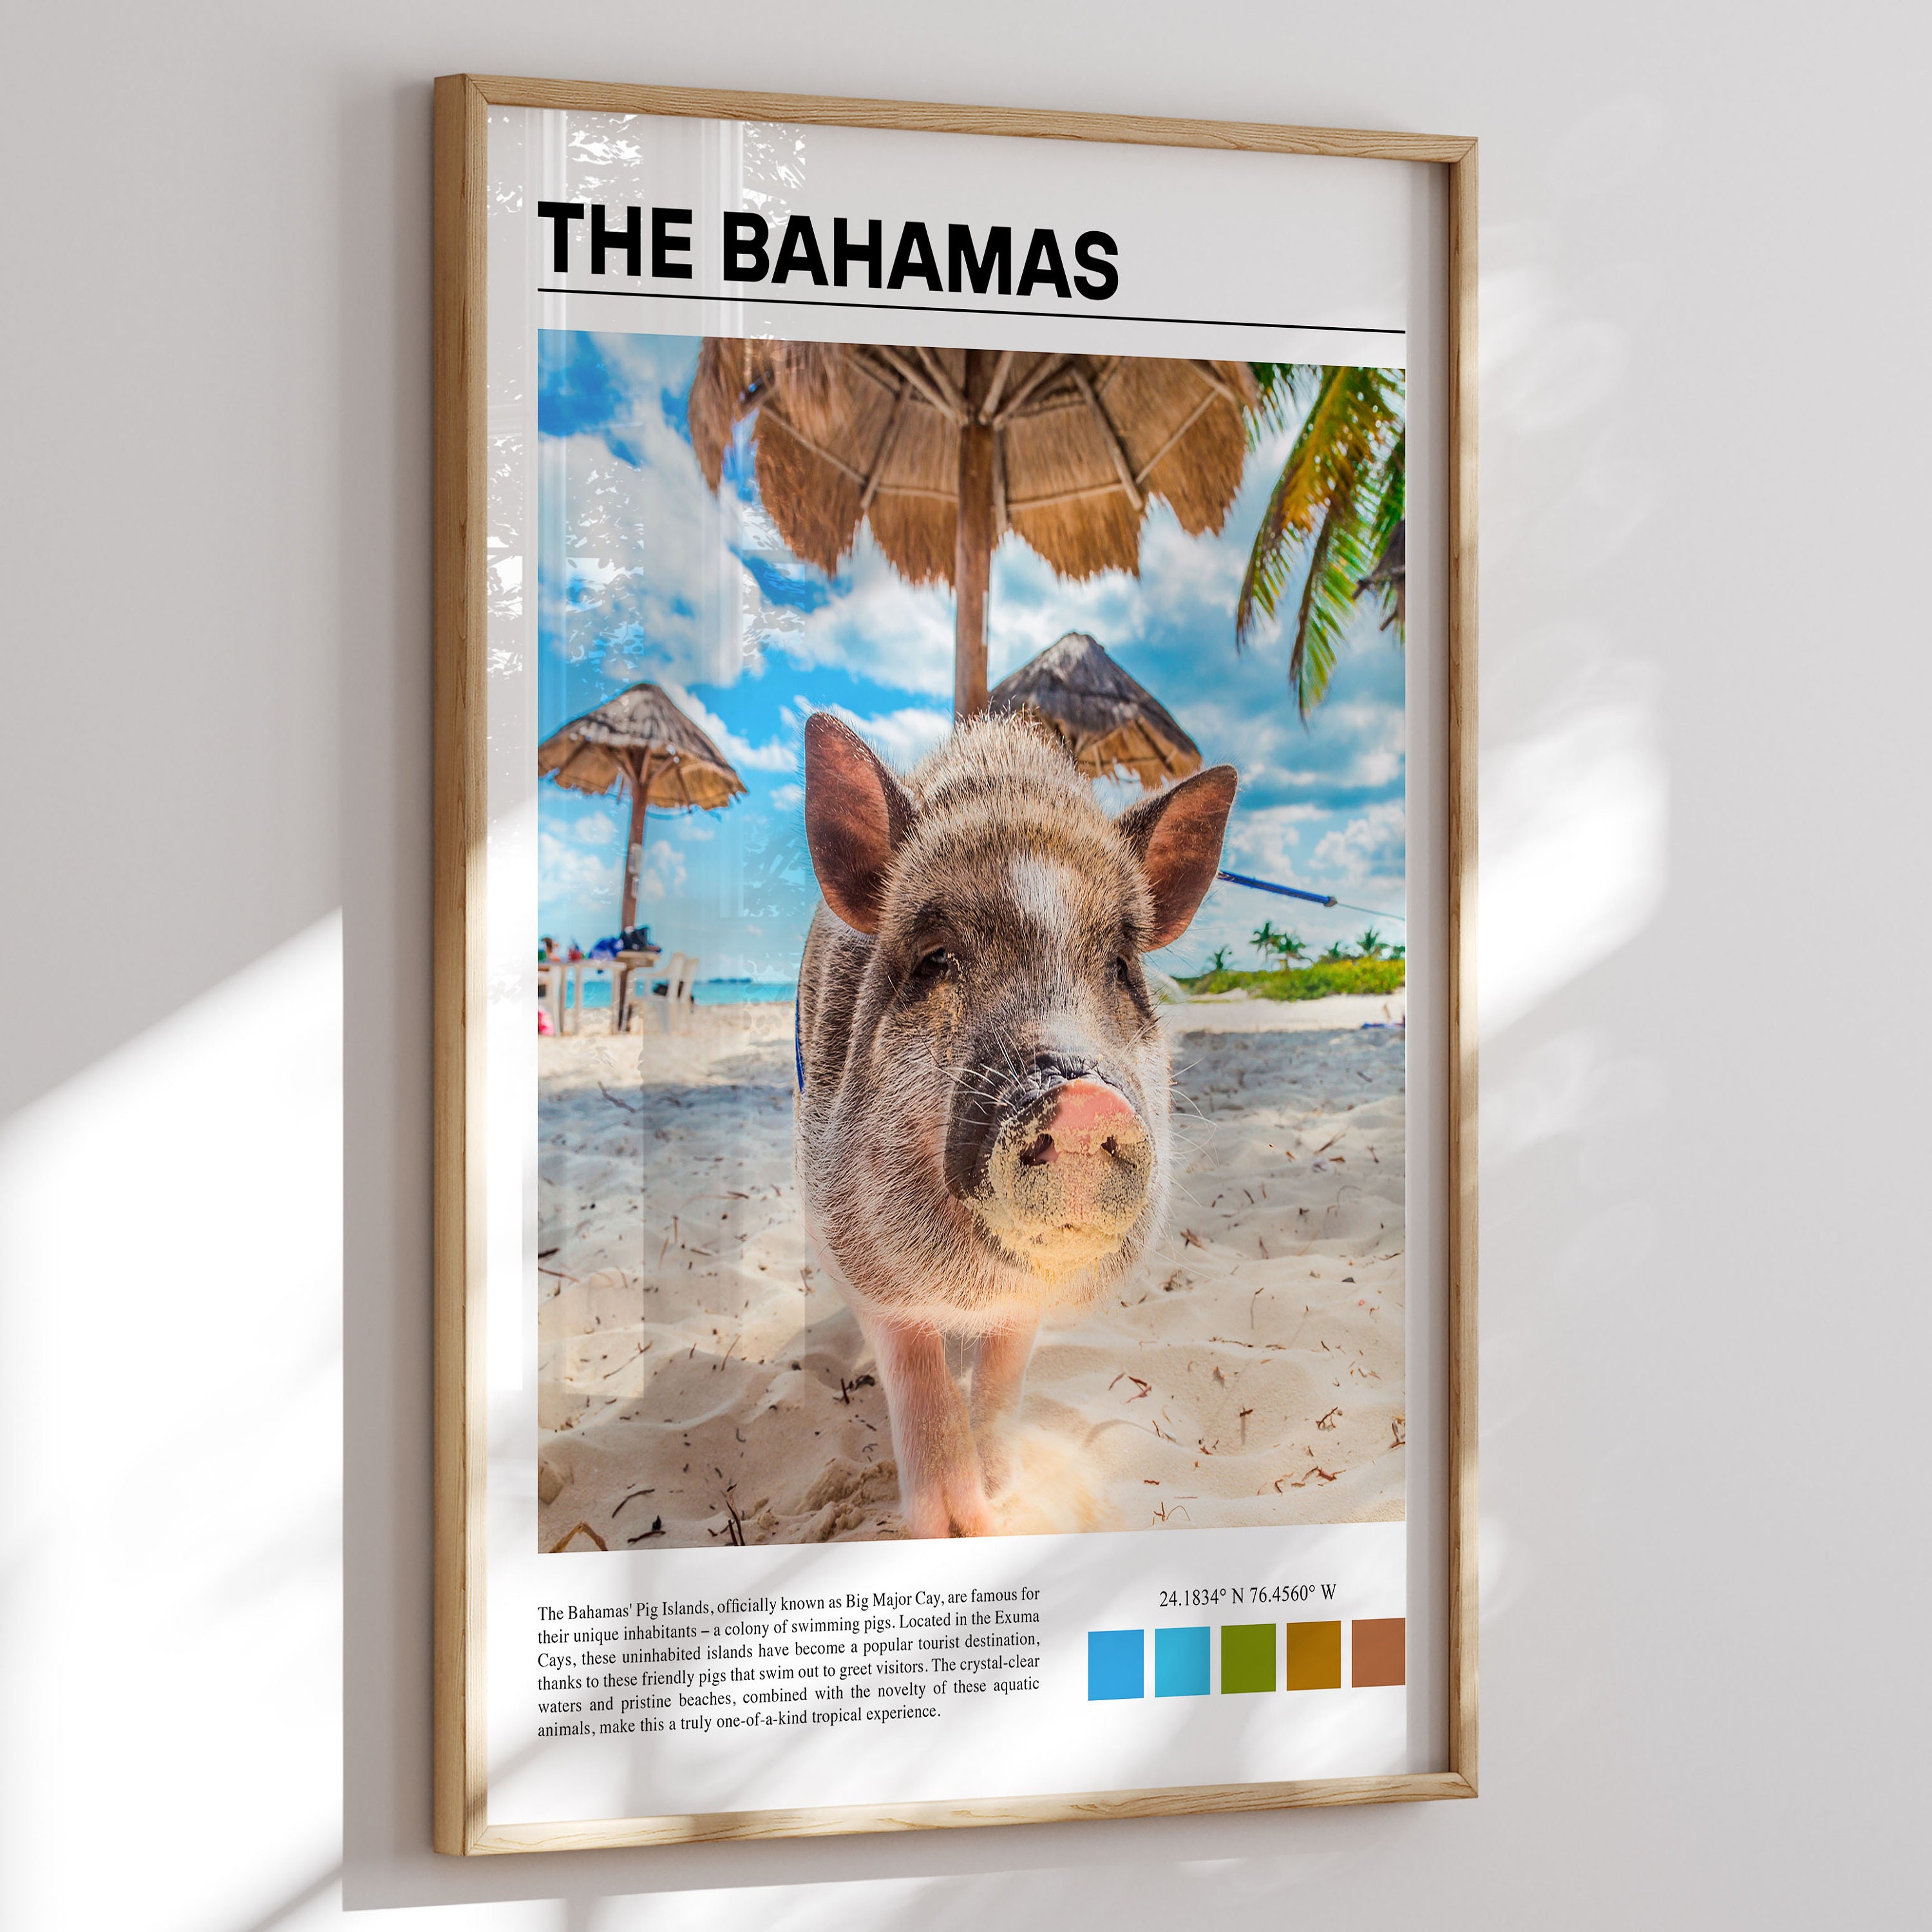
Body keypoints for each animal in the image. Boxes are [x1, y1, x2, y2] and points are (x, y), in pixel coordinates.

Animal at [793, 711, 1237, 1537]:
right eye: (935, 958)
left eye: (1122, 965)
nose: (1083, 1098)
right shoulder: (853, 1243)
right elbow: (918, 1373)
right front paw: (949, 1528)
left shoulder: (1023, 1308)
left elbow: (1001, 1379)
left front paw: (1003, 1503)